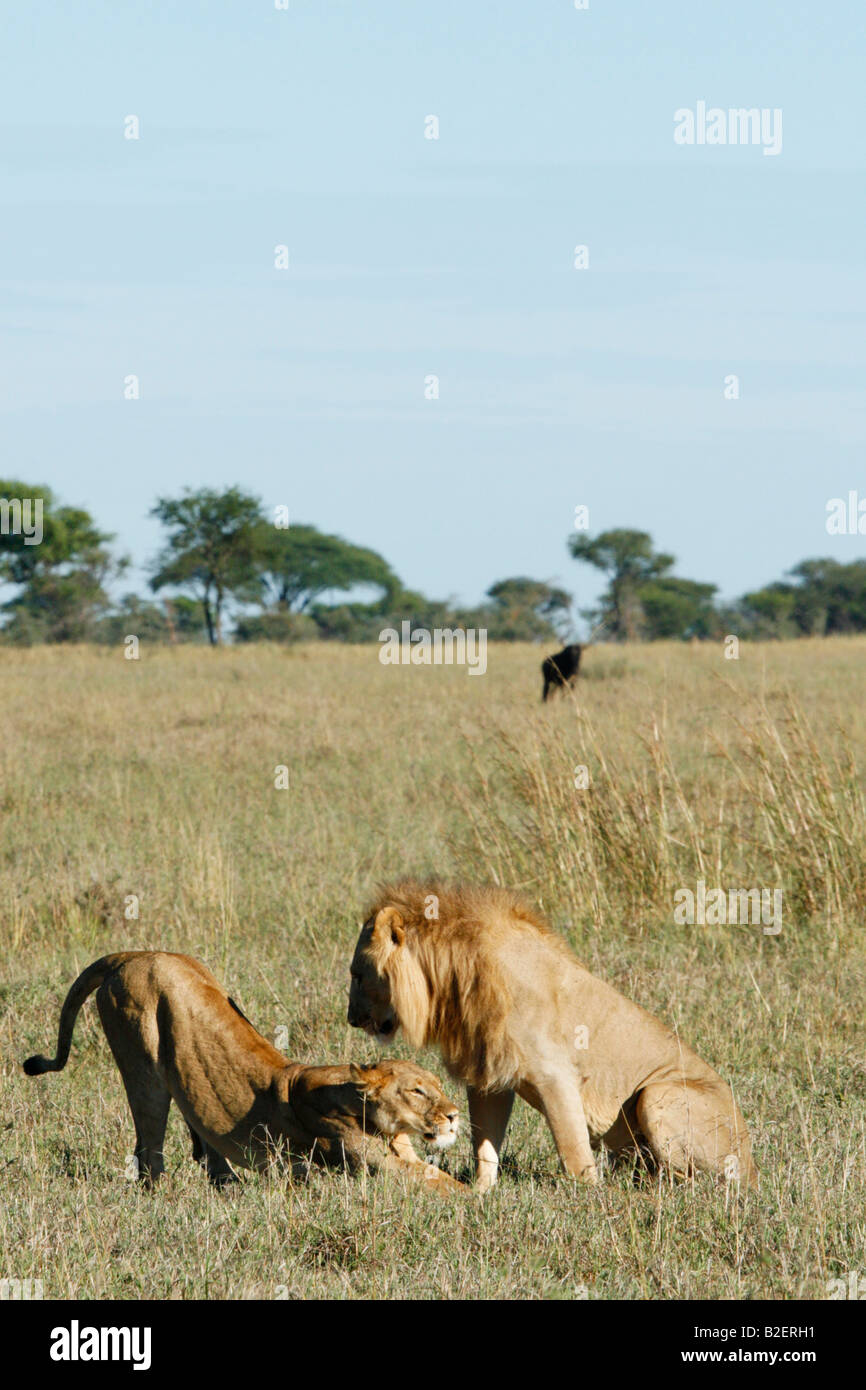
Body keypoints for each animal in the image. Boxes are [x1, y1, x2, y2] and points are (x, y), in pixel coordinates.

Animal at [23, 951, 465, 1195]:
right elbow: (450, 1190)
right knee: (149, 1148)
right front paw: (481, 1202)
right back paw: (164, 1195)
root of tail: (131, 955)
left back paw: (228, 1185)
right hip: (142, 1068)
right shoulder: (380, 1169)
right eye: (418, 1092)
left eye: (439, 1086)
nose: (454, 1116)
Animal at [348, 882, 757, 1192]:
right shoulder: (491, 1075)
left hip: (658, 1093)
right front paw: (480, 1192)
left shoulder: (554, 1076)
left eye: (356, 974)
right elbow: (485, 1143)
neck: (452, 977)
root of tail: (752, 1163)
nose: (351, 1019)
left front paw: (590, 1197)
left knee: (688, 1182)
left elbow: (574, 1152)